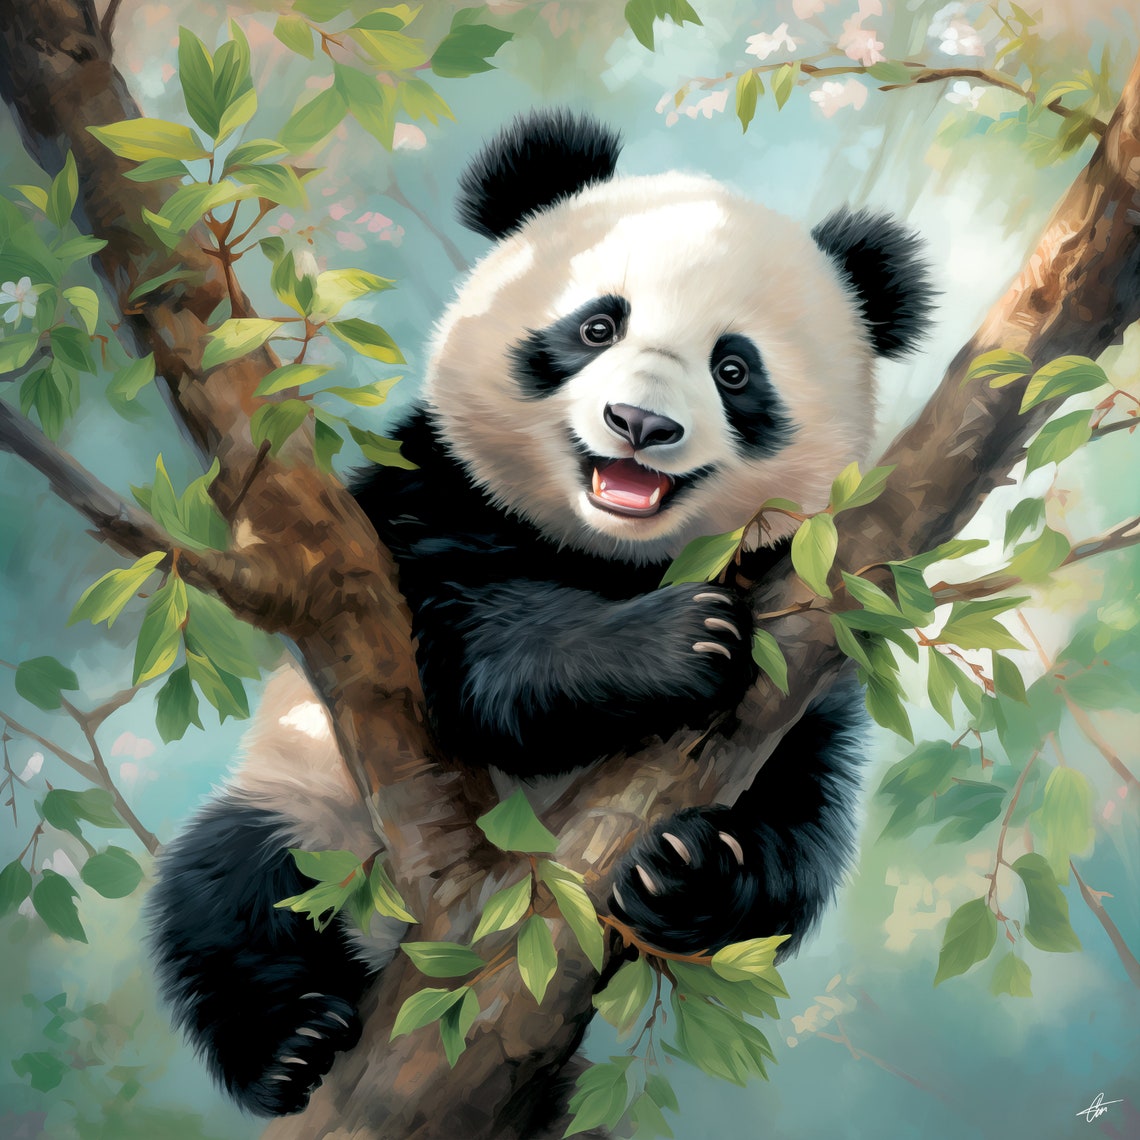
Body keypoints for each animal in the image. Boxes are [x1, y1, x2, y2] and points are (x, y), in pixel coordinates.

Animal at [148, 109, 933, 1118]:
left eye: (734, 368)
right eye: (597, 324)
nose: (641, 425)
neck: (613, 553)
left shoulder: (811, 615)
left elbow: (797, 813)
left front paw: (687, 869)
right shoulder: (428, 508)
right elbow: (475, 659)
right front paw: (677, 642)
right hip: (314, 804)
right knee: (231, 892)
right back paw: (293, 1045)